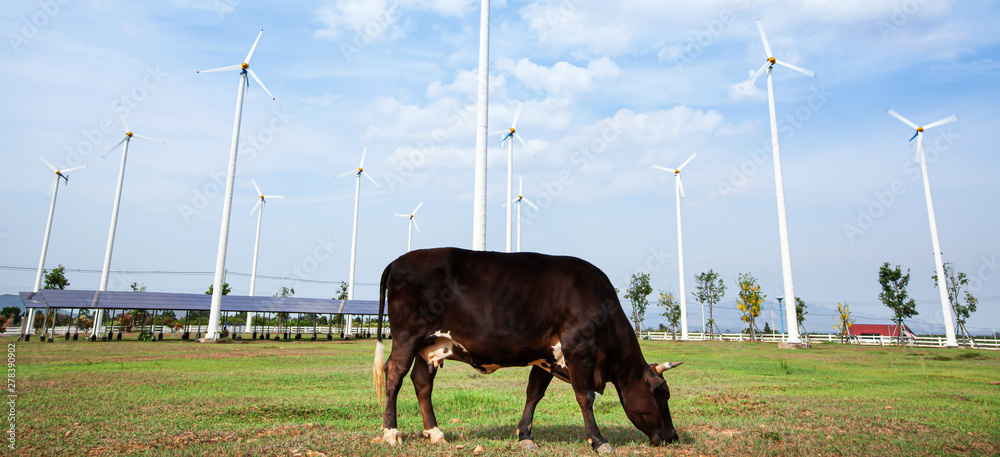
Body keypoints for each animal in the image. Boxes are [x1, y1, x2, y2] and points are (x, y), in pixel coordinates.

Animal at [372, 248, 682, 454]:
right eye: (662, 394)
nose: (673, 436)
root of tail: (399, 260)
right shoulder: (579, 348)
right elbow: (586, 397)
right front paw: (598, 440)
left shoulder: (546, 355)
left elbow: (534, 393)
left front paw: (525, 436)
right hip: (407, 337)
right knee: (394, 374)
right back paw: (391, 433)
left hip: (430, 345)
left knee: (422, 382)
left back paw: (435, 433)